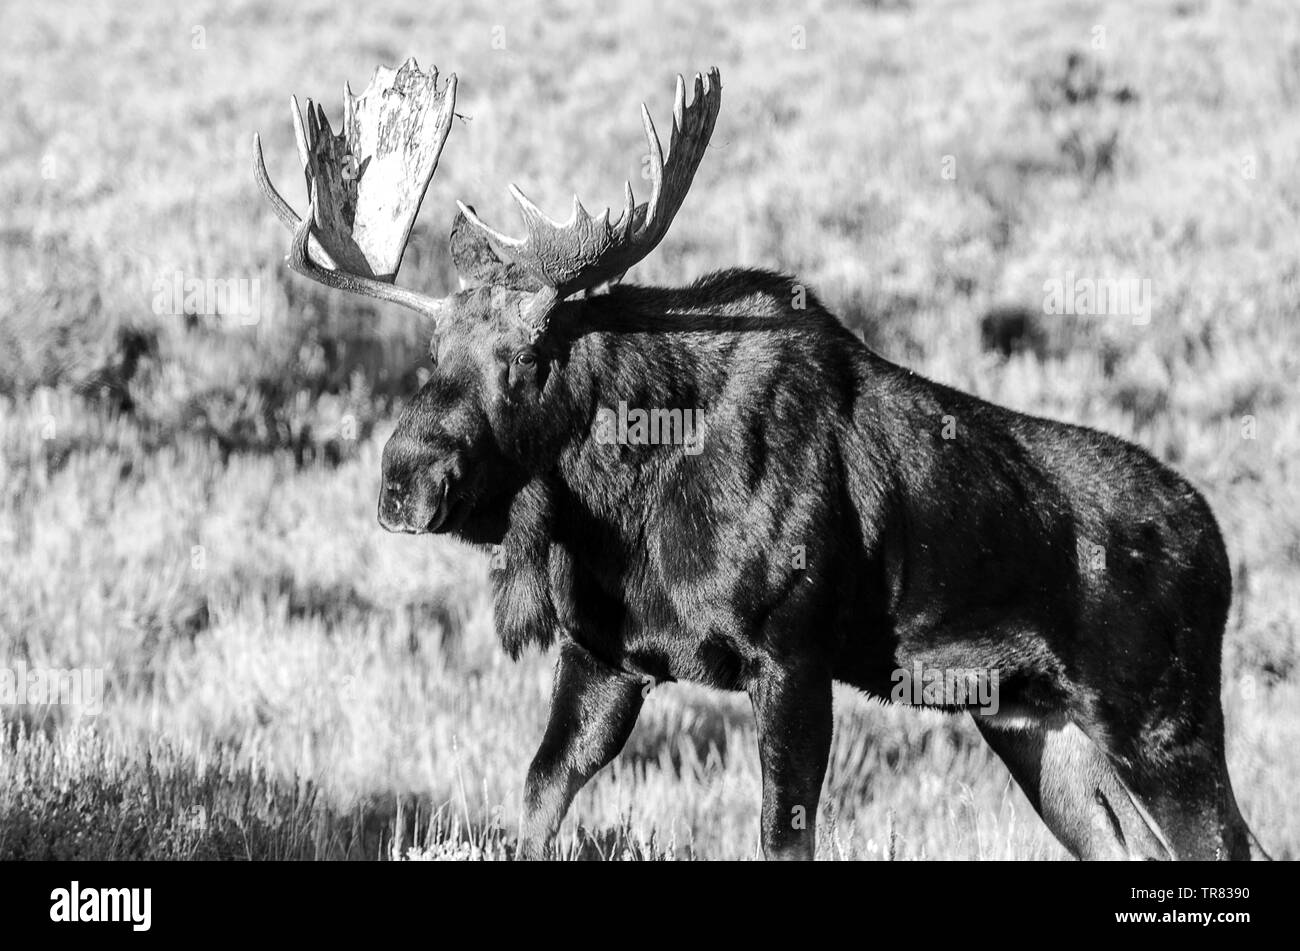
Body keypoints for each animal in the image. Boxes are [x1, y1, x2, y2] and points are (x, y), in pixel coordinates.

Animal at [253, 59, 1268, 861]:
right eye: (434, 350)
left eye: (532, 351)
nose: (406, 483)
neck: (628, 507)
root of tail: (1220, 549)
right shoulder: (606, 658)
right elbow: (537, 799)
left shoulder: (792, 658)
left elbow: (784, 834)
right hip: (1035, 722)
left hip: (1161, 720)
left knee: (1226, 840)